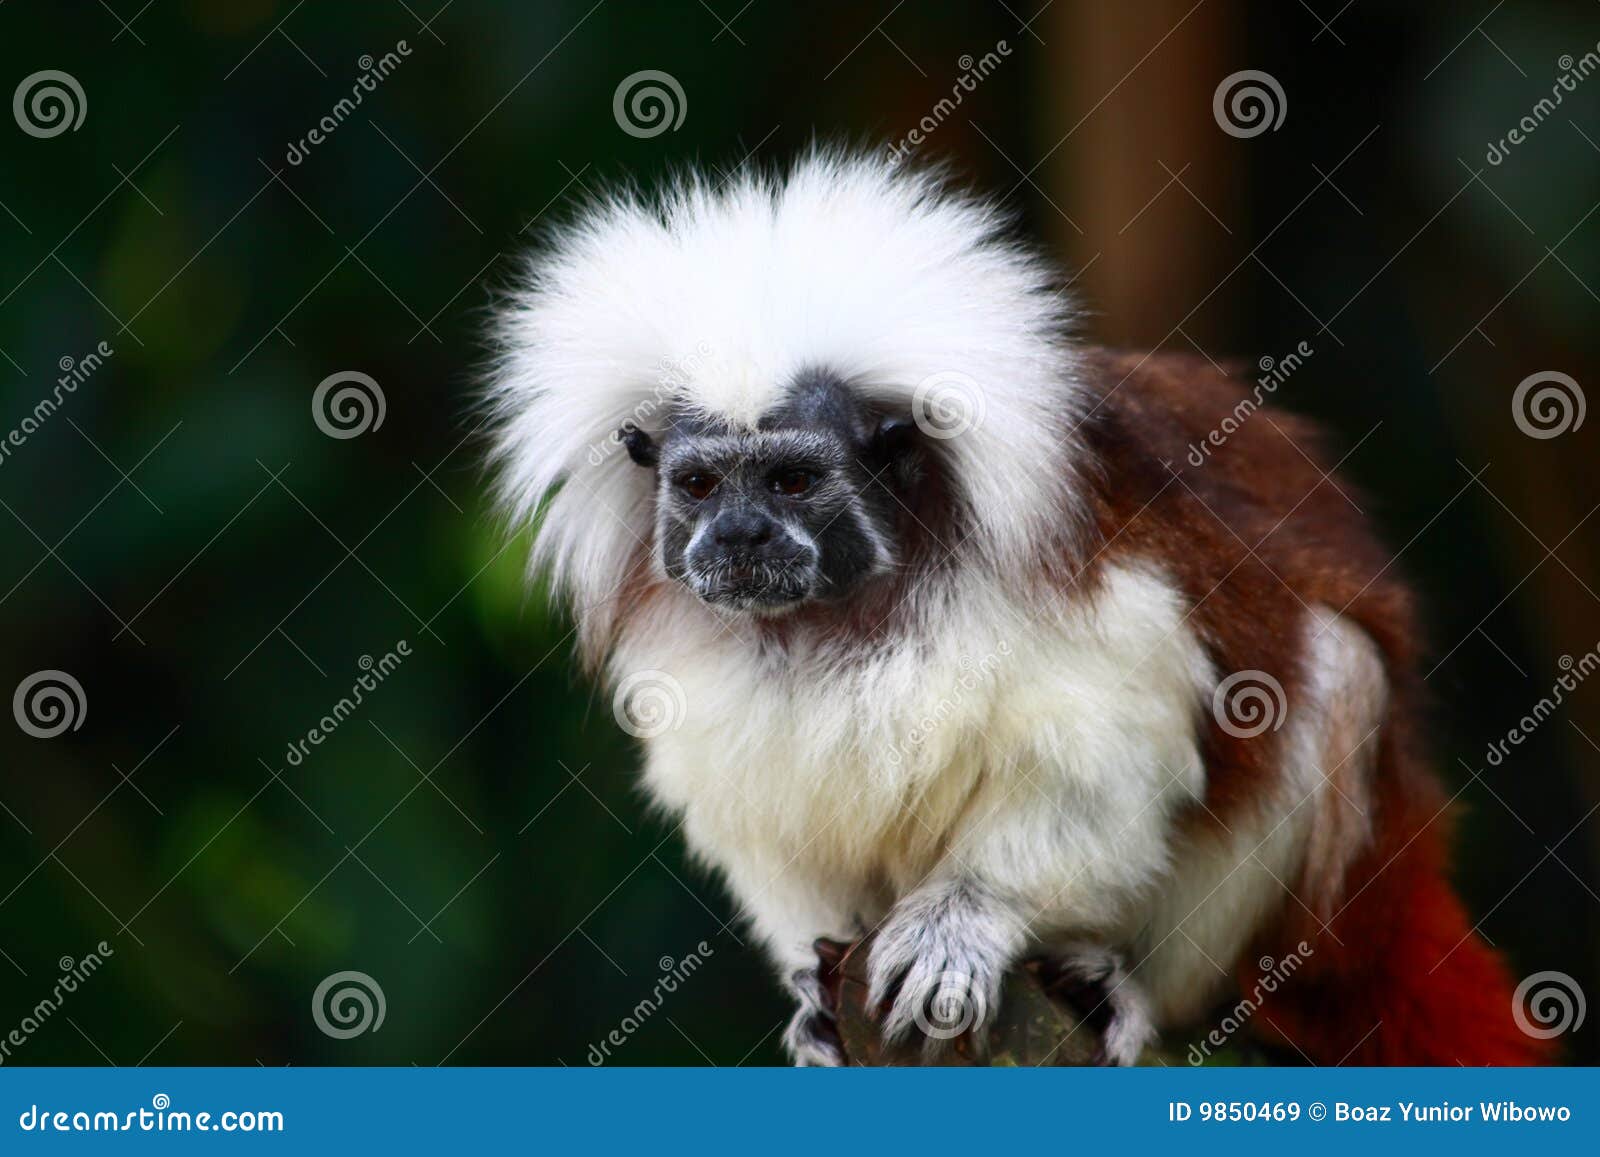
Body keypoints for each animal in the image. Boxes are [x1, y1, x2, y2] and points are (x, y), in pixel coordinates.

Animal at [484, 149, 1548, 1067]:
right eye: (701, 485)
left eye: (791, 481)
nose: (739, 537)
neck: (844, 611)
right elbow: (777, 825)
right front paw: (812, 989)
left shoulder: (1093, 588)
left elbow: (1103, 762)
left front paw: (967, 917)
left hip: (1323, 929)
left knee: (1330, 669)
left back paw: (1120, 988)